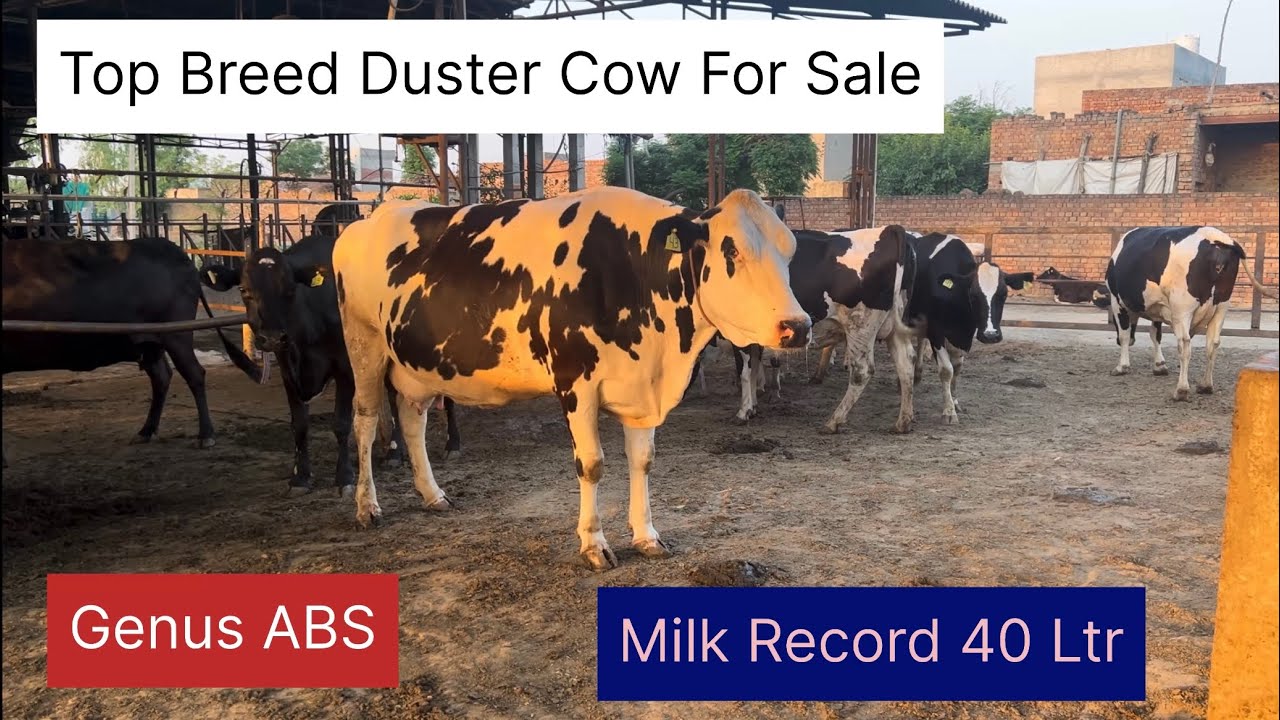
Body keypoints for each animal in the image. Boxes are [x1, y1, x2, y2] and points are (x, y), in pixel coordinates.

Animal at [2, 235, 259, 453]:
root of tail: (173, 251)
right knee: (162, 377)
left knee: (194, 374)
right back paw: (146, 430)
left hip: (176, 335)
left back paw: (205, 435)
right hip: (149, 342)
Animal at [202, 233, 463, 497]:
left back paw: (452, 444)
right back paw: (394, 453)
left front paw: (344, 477)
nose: (272, 337)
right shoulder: (287, 369)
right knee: (393, 397)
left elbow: (341, 423)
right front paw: (300, 477)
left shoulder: (345, 368)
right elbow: (299, 424)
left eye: (290, 289)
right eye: (244, 290)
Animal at [331, 188, 811, 570]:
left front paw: (647, 536)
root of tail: (369, 218)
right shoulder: (576, 384)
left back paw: (433, 495)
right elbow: (592, 464)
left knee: (412, 420)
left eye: (790, 252)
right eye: (731, 251)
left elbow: (643, 460)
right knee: (365, 420)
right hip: (363, 344)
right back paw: (367, 506)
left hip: (417, 364)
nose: (798, 326)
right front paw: (594, 545)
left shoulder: (641, 390)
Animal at [1102, 226, 1277, 399]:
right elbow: (1155, 334)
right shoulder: (1158, 307)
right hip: (1221, 306)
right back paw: (1205, 385)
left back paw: (1181, 389)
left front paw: (1122, 367)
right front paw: (1159, 365)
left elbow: (1125, 335)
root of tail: (1216, 237)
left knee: (1185, 344)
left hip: (1182, 307)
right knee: (1212, 343)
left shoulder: (1116, 301)